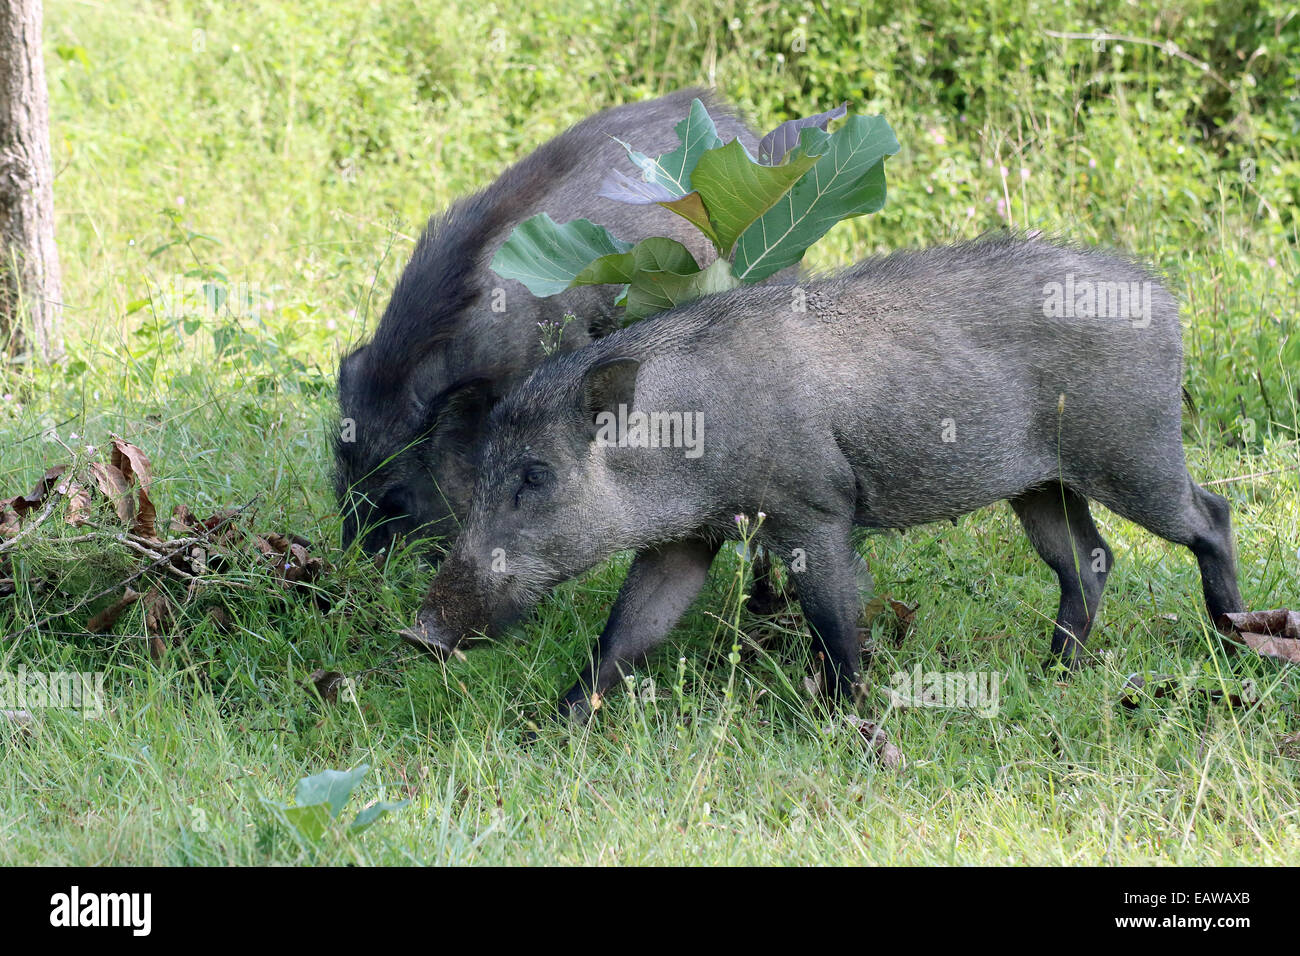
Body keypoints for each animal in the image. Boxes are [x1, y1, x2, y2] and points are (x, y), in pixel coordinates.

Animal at [399, 237, 1245, 721]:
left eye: (535, 476)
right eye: (483, 476)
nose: (418, 633)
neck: (686, 433)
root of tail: (1162, 296)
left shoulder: (814, 513)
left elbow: (836, 624)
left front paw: (842, 724)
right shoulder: (684, 540)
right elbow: (627, 634)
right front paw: (552, 724)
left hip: (1133, 455)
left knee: (1211, 515)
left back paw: (1234, 646)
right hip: (1040, 485)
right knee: (1090, 561)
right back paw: (1051, 675)